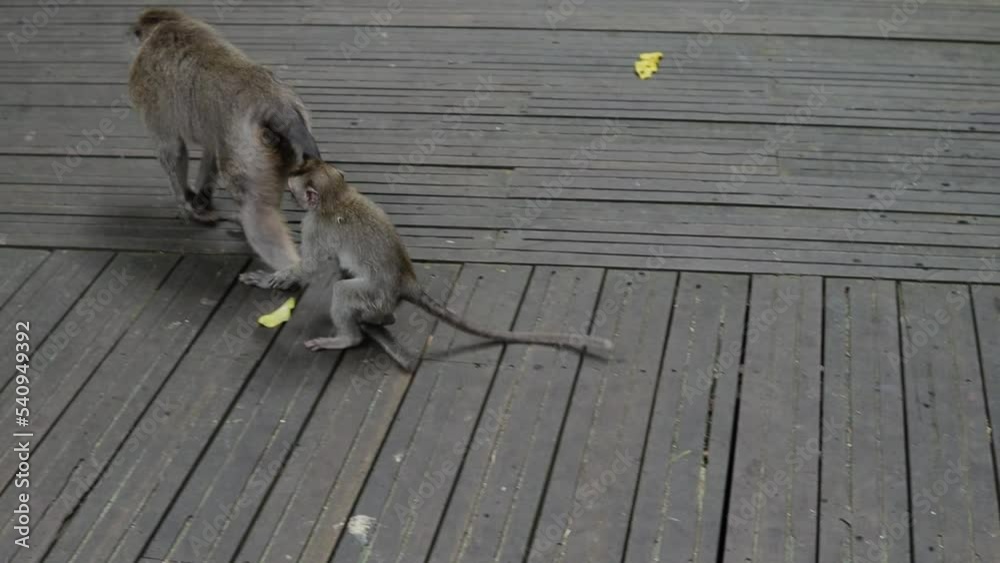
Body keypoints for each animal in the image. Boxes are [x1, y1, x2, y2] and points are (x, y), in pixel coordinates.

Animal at [128, 7, 320, 272]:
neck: (168, 26)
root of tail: (277, 106)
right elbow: (211, 146)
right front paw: (199, 199)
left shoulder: (144, 79)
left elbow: (172, 149)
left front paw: (186, 203)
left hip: (250, 150)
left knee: (255, 207)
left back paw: (291, 269)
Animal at [239, 161, 615, 357]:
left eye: (294, 185)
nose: (288, 183)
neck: (338, 195)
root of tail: (407, 282)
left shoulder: (315, 224)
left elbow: (313, 265)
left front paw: (270, 278)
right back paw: (382, 320)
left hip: (373, 295)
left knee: (345, 291)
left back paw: (349, 338)